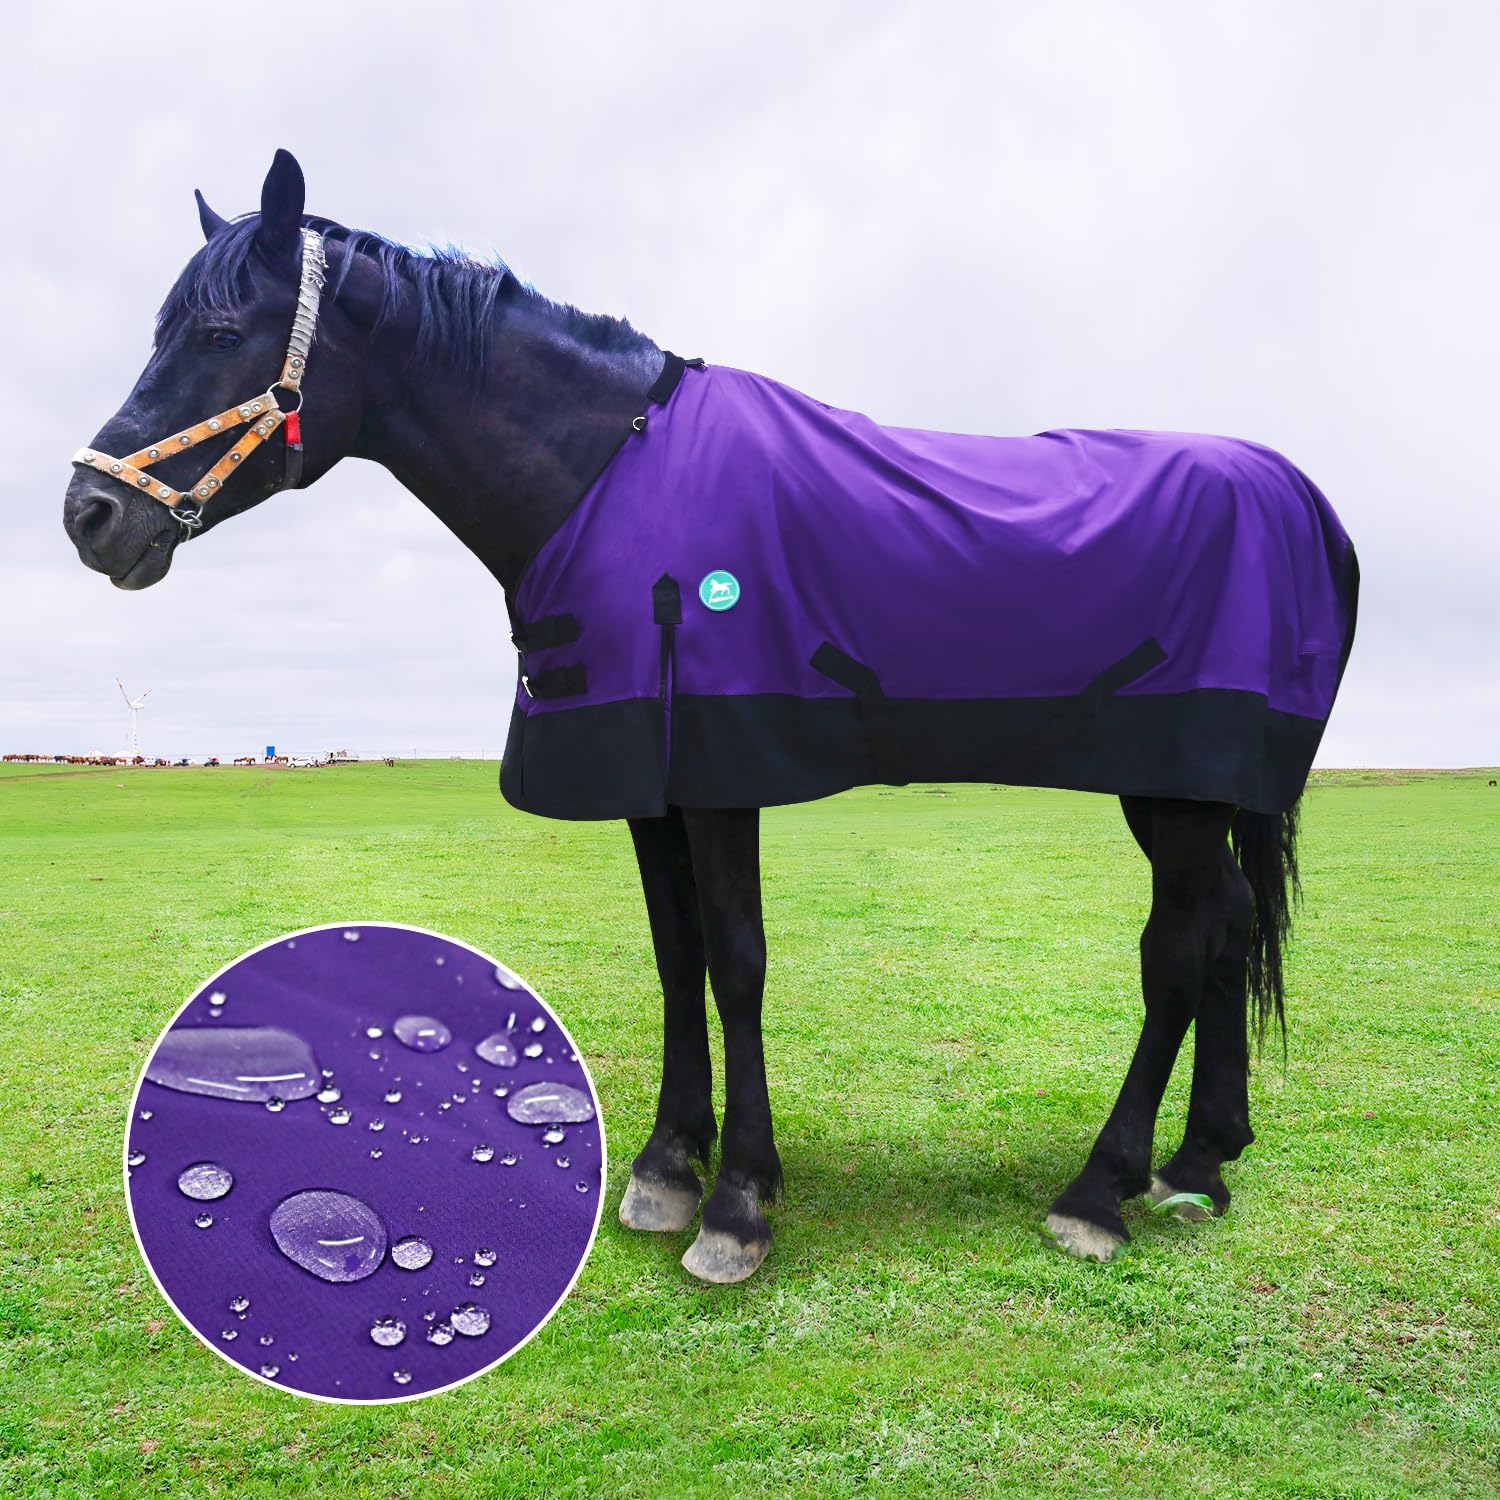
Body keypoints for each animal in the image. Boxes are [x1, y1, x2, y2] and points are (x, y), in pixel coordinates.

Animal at [63, 150, 1358, 1281]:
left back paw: (1100, 1191)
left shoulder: (722, 776)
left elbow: (737, 963)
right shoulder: (649, 775)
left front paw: (738, 1205)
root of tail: (1304, 499)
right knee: (1230, 925)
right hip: (1186, 794)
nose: (88, 515)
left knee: (1176, 952)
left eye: (219, 334)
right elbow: (676, 954)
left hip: (1178, 787)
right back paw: (1200, 1163)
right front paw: (667, 1168)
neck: (608, 471)